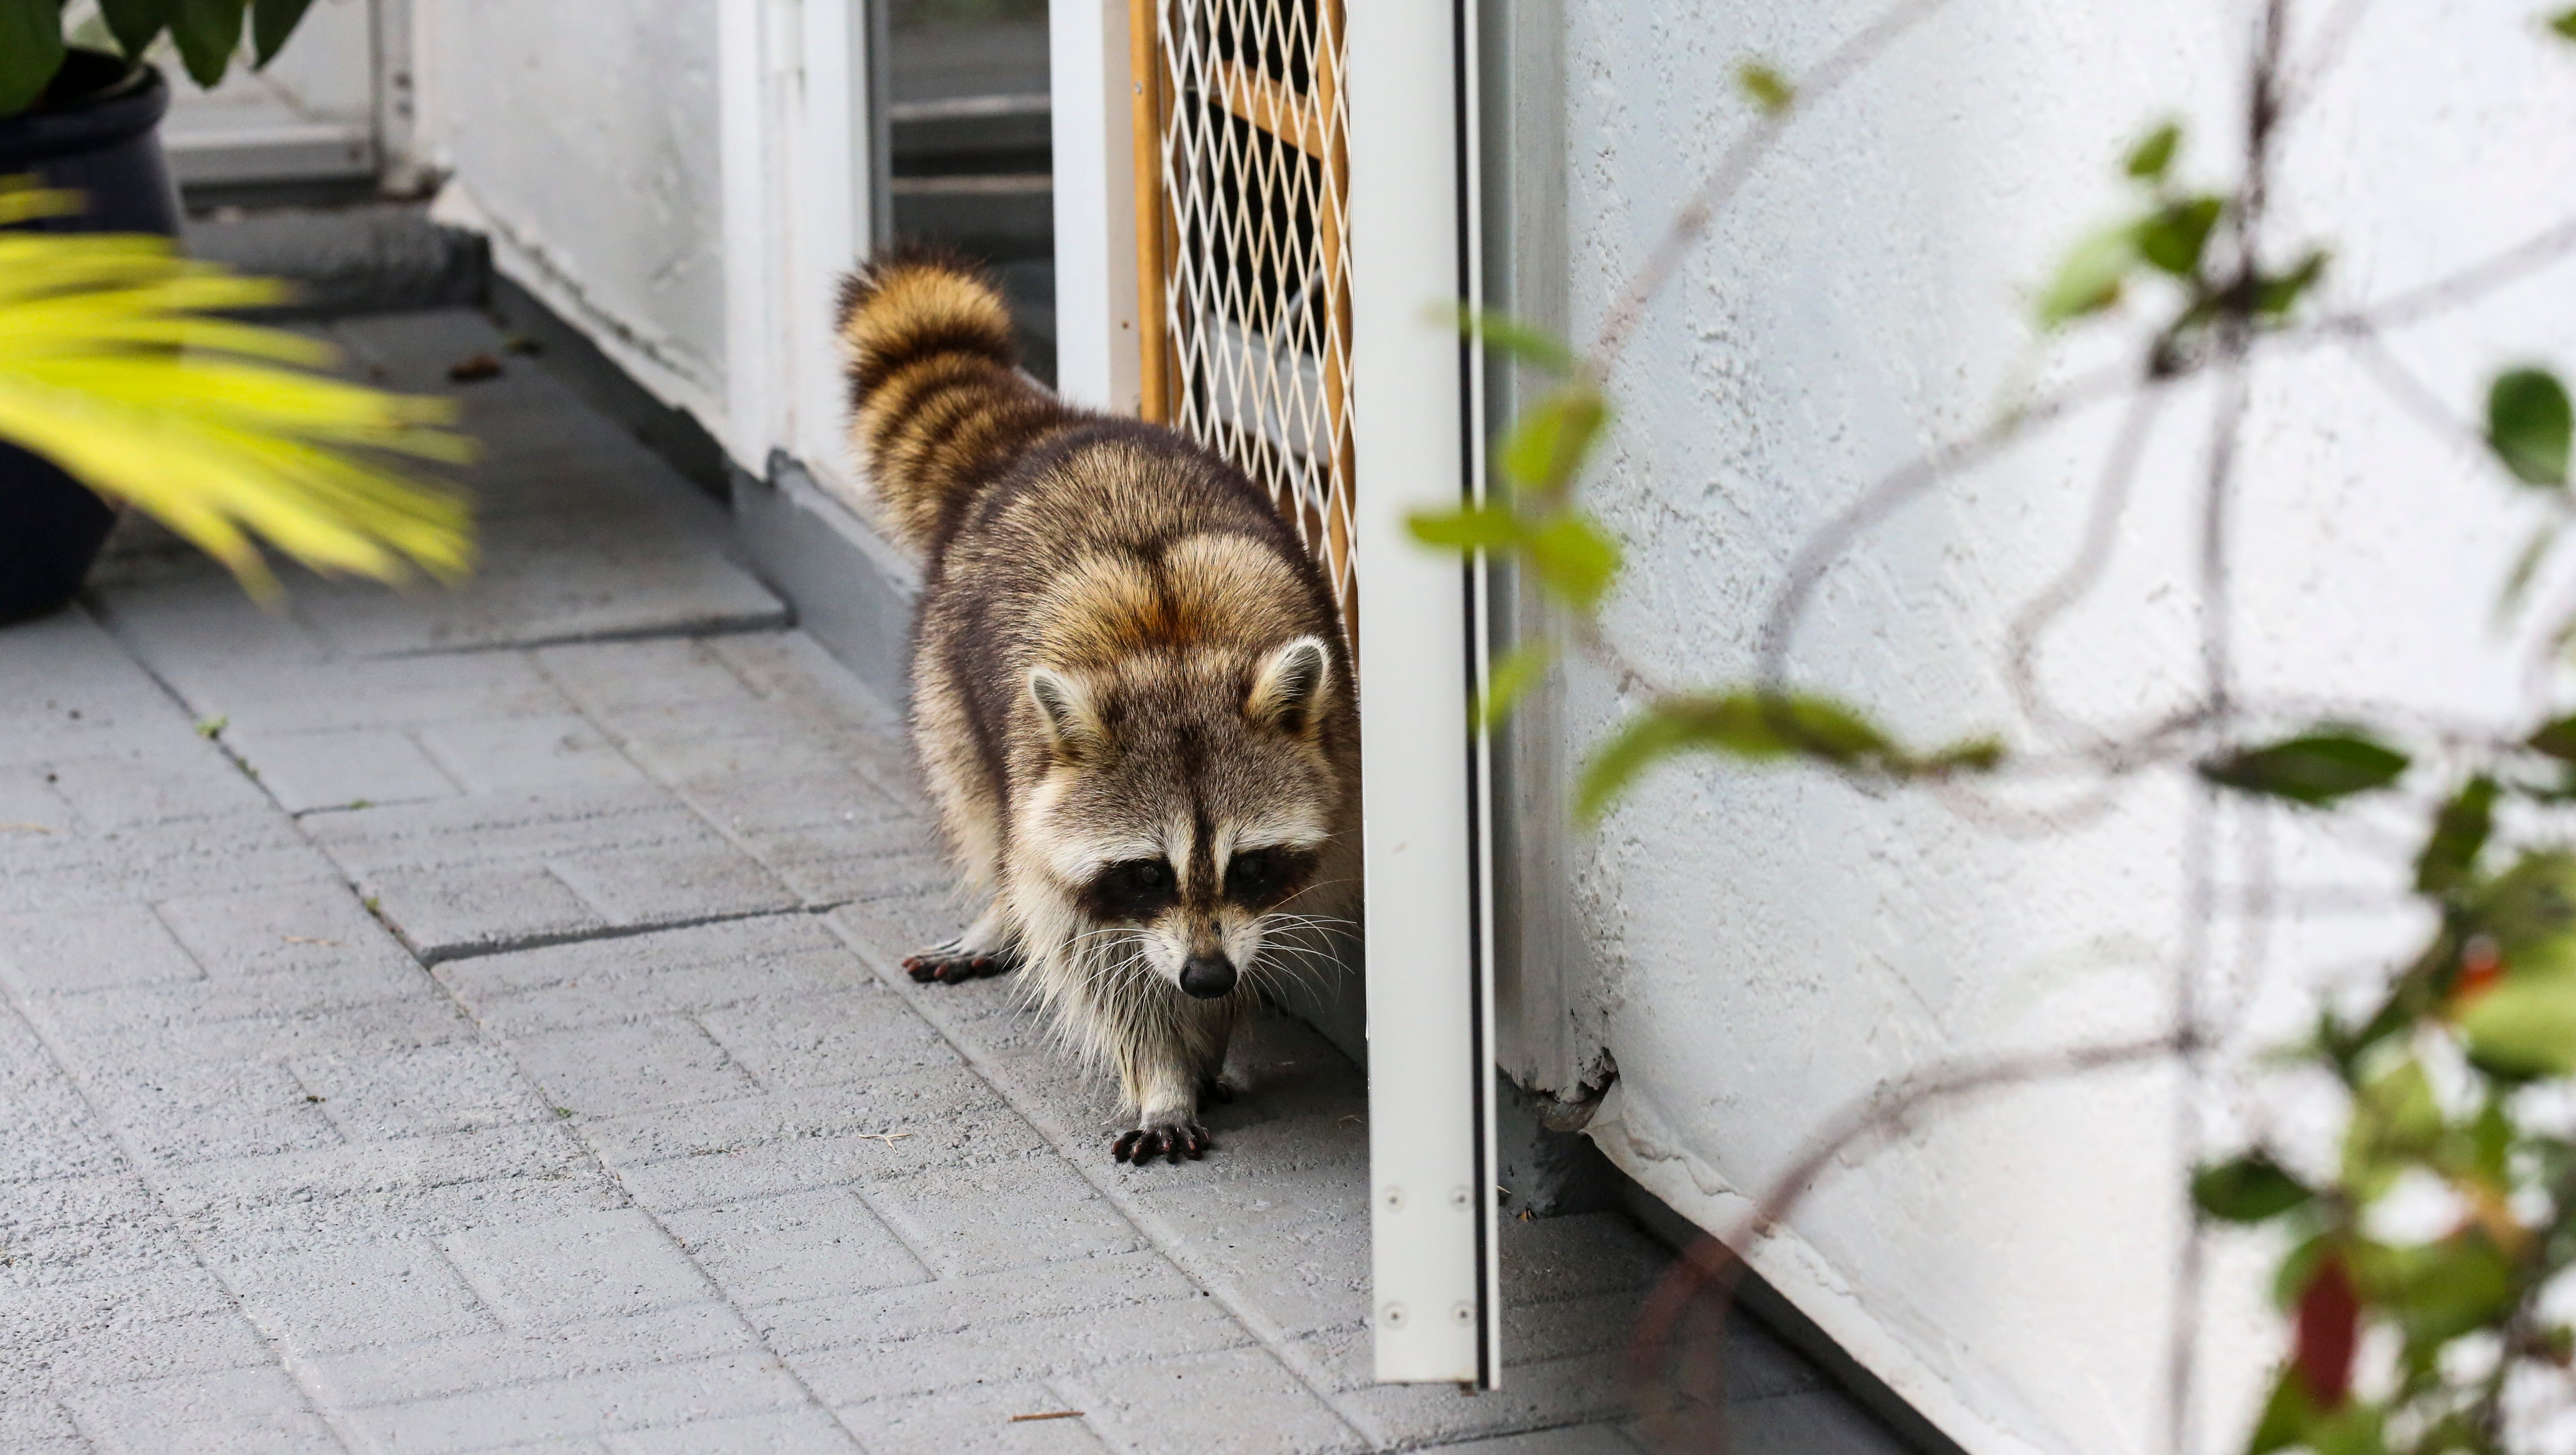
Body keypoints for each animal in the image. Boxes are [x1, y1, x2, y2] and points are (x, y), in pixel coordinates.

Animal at [837, 250, 1361, 1165]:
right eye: (1147, 871)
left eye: (1250, 864)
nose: (1206, 975)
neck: (1176, 650)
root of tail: (1053, 432)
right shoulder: (1059, 820)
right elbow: (1093, 960)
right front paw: (1162, 1072)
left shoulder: (1337, 779)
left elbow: (1263, 930)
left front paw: (1212, 1032)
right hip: (947, 674)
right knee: (988, 815)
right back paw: (1000, 911)